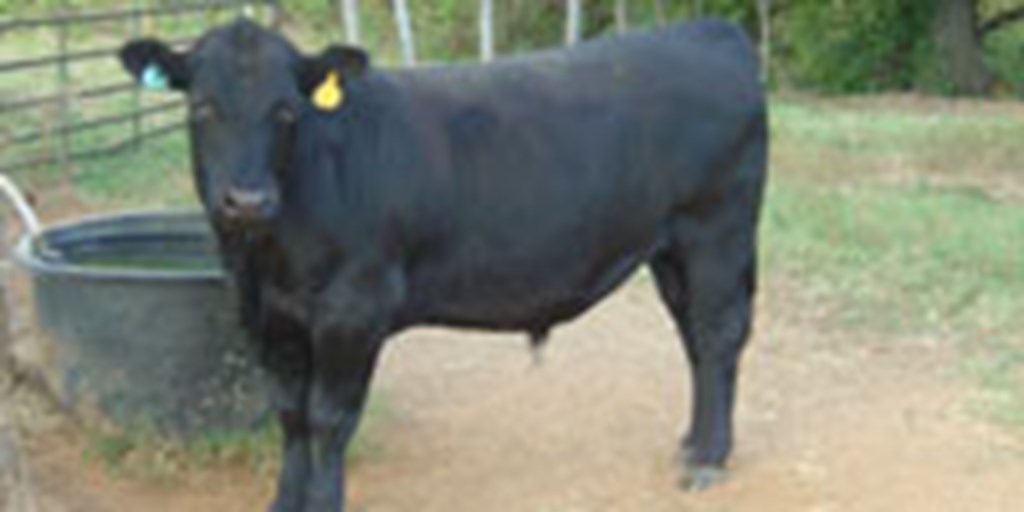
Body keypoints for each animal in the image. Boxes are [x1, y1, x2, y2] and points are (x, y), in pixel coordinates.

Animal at [119, 17, 767, 512]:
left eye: (285, 111)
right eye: (201, 107)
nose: (248, 200)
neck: (267, 259)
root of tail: (710, 31)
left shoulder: (353, 309)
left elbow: (328, 418)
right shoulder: (271, 317)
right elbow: (289, 415)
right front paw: (283, 503)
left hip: (717, 232)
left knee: (718, 336)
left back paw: (709, 459)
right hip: (671, 250)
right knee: (695, 339)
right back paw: (694, 444)